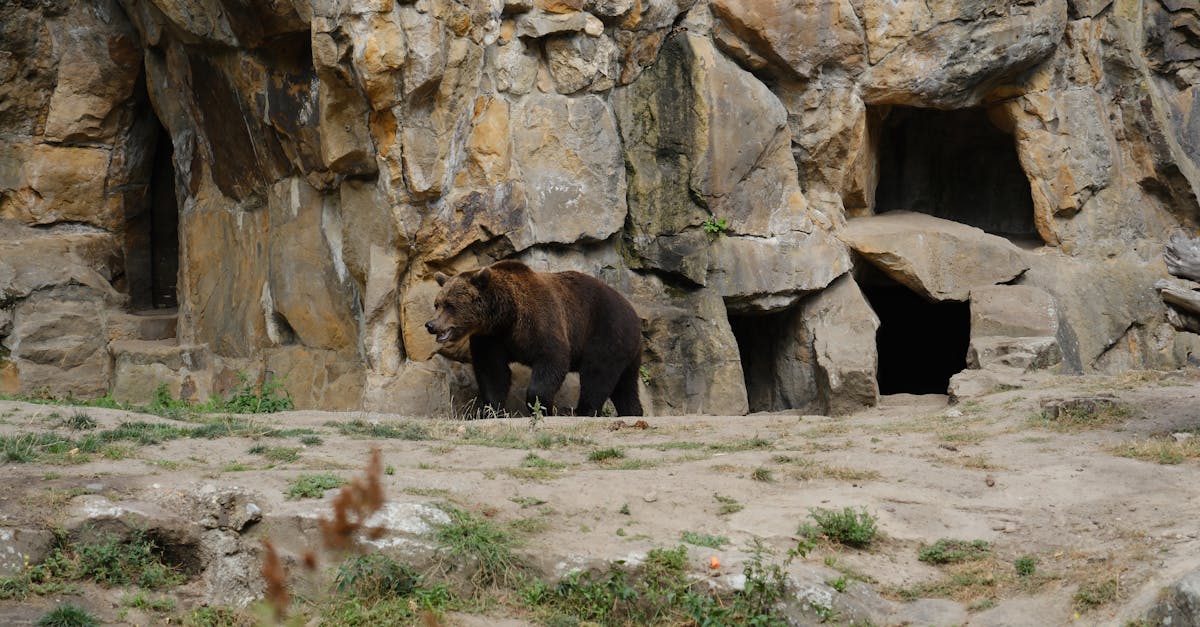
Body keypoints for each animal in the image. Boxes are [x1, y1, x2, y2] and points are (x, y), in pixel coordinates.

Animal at [427, 258, 643, 415]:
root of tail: (633, 311)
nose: (431, 325)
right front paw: (491, 409)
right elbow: (492, 372)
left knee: (596, 374)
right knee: (626, 384)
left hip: (606, 331)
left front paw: (541, 406)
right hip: (628, 350)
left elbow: (552, 360)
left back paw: (582, 410)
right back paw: (633, 411)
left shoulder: (540, 320)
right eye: (437, 304)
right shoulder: (490, 338)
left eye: (450, 305)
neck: (505, 316)